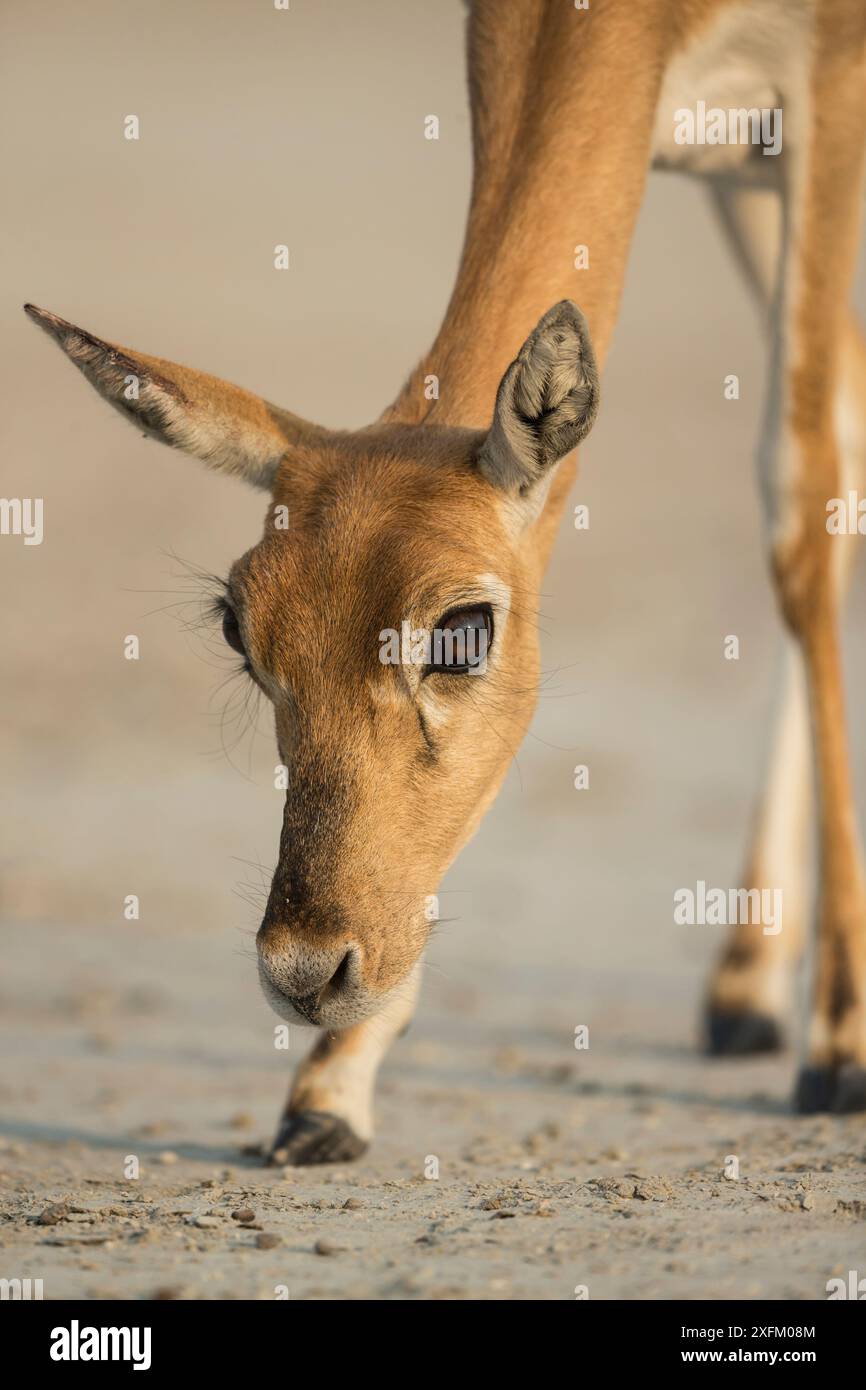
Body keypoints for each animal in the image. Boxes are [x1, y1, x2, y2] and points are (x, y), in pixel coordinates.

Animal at [26, 0, 866, 1163]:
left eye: (463, 629)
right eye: (241, 631)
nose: (304, 971)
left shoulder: (826, 91)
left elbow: (800, 497)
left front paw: (842, 1044)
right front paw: (330, 1090)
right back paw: (741, 986)